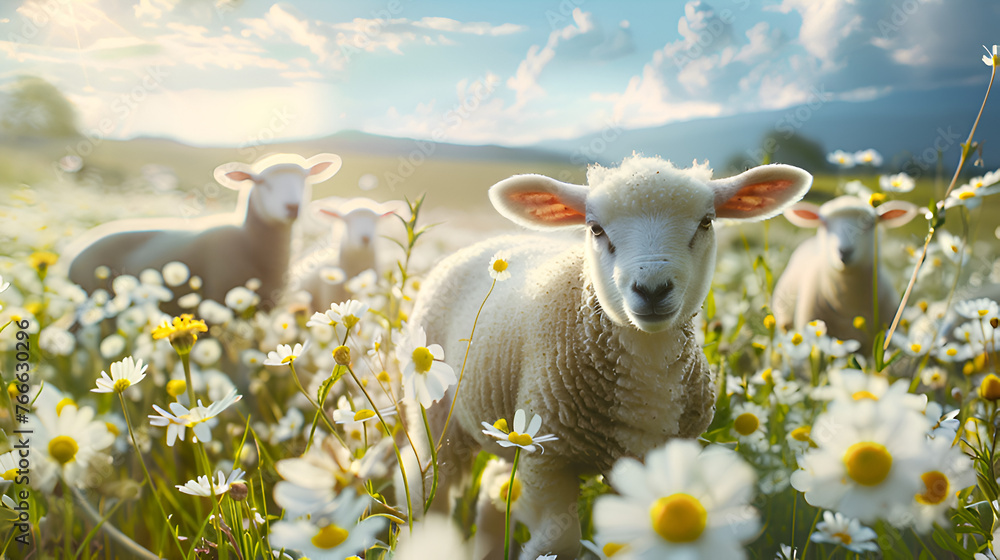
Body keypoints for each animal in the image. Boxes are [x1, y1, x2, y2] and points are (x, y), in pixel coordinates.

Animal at [65, 153, 342, 312]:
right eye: (261, 182)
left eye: (305, 178)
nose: (292, 207)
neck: (248, 241)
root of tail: (73, 253)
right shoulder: (221, 300)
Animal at [407, 155, 812, 559]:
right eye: (596, 229)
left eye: (706, 222)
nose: (652, 289)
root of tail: (487, 243)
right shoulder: (546, 455)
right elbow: (559, 542)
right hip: (438, 415)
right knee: (428, 483)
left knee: (492, 489)